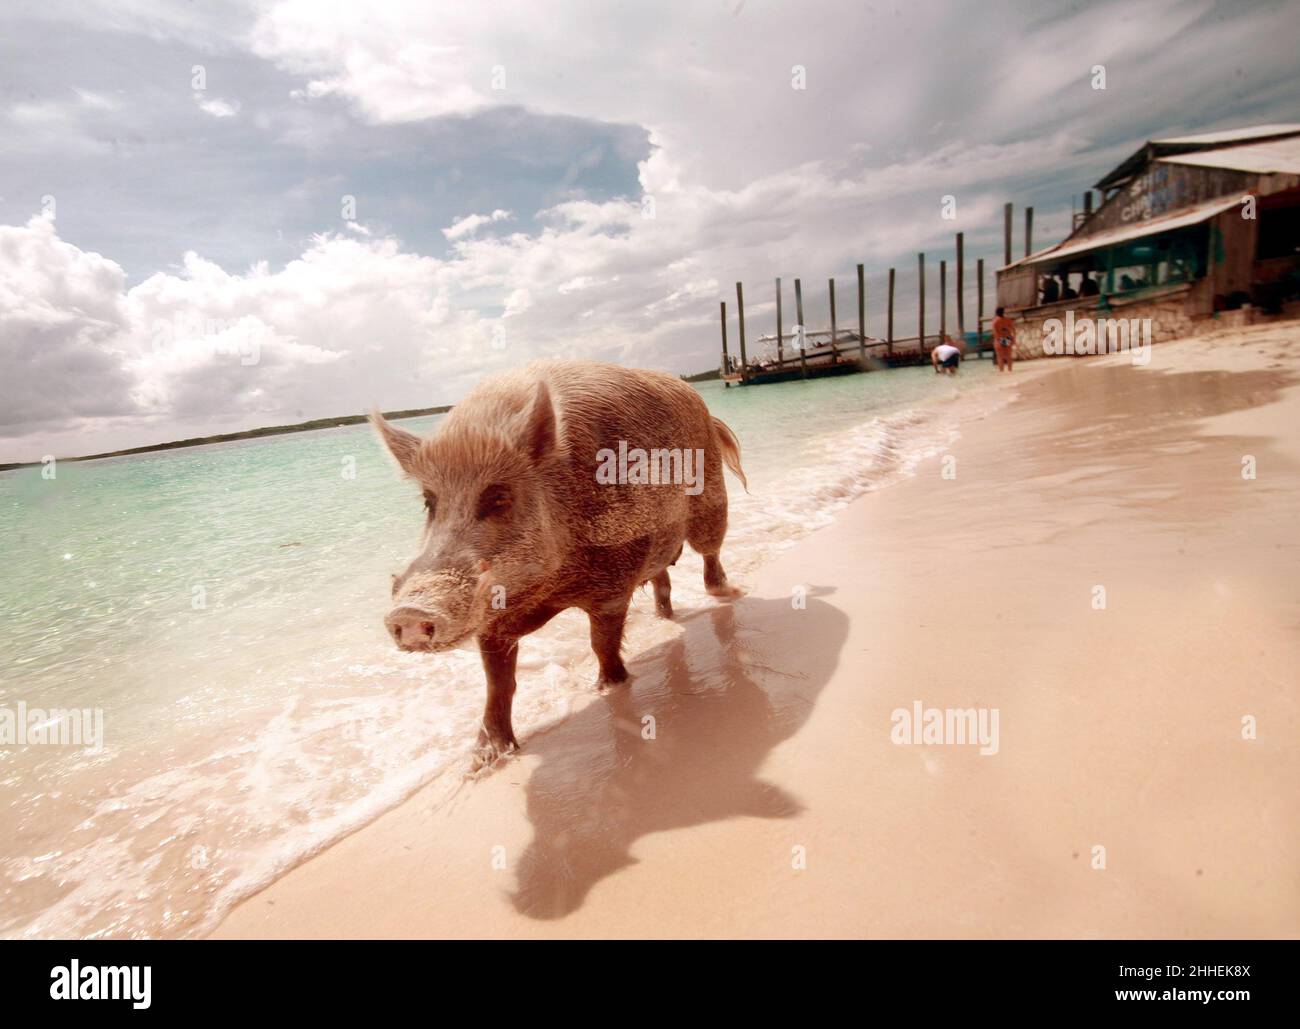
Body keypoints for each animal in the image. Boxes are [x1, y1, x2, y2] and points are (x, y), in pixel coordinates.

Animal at [372, 360, 747, 770]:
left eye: (499, 498)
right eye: (429, 502)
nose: (408, 612)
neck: (550, 590)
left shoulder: (613, 584)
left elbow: (601, 642)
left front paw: (608, 686)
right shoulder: (492, 619)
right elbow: (497, 682)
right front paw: (484, 759)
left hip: (712, 502)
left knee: (709, 552)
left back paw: (728, 592)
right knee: (662, 575)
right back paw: (664, 617)